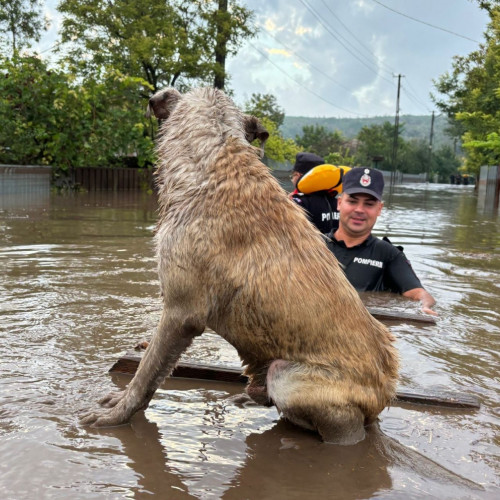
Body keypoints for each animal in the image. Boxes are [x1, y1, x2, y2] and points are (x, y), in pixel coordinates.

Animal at [81, 87, 398, 446]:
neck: (215, 161)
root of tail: (384, 394)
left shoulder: (181, 313)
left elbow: (146, 373)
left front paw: (117, 414)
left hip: (289, 378)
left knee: (343, 426)